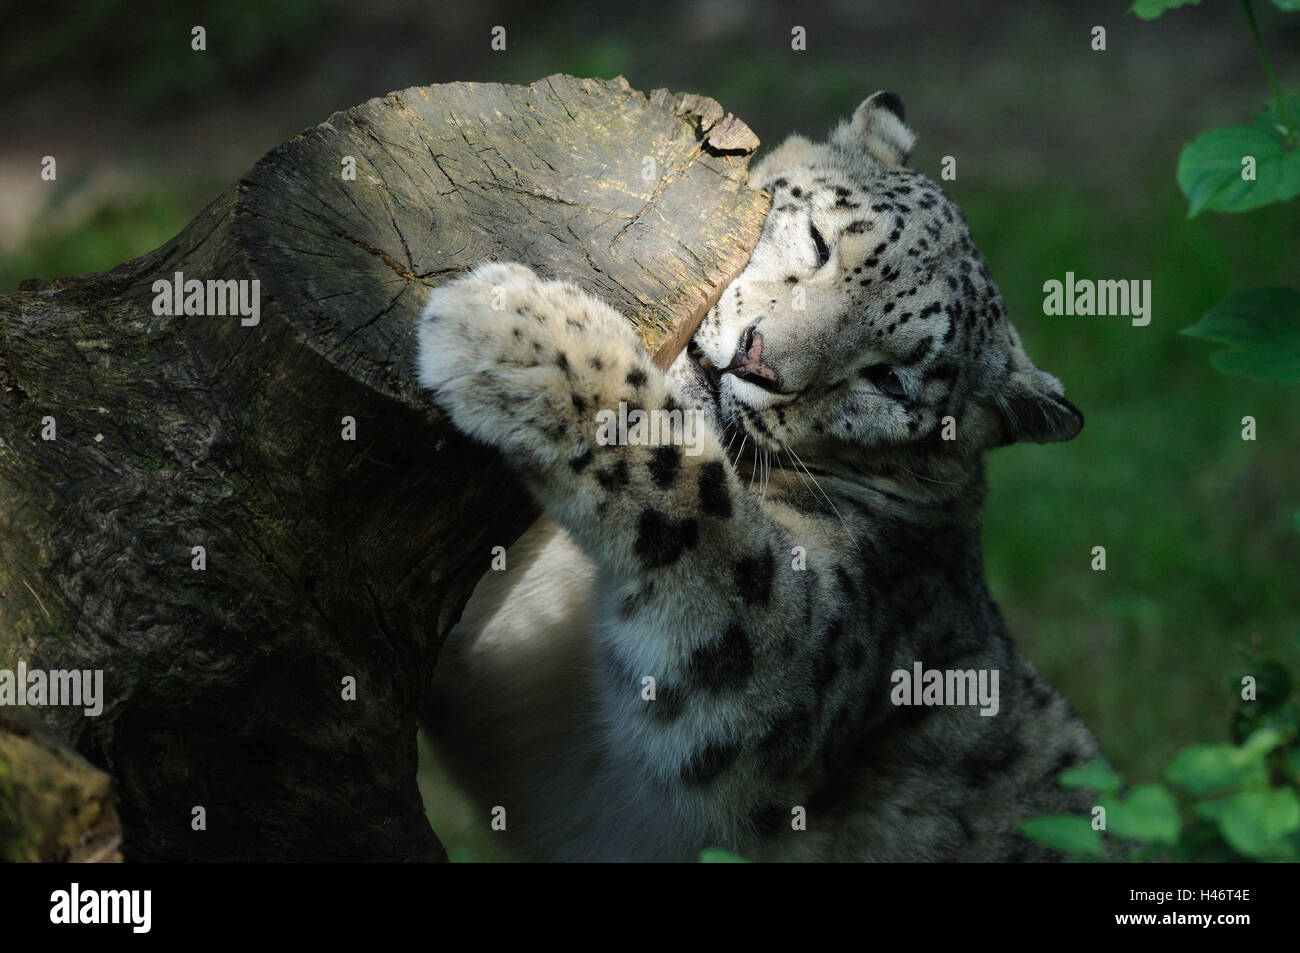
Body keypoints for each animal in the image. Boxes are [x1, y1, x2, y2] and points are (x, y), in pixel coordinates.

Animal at [416, 90, 1102, 862]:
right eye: (819, 240)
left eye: (890, 379)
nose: (759, 359)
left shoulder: (776, 677)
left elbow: (704, 510)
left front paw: (521, 333)